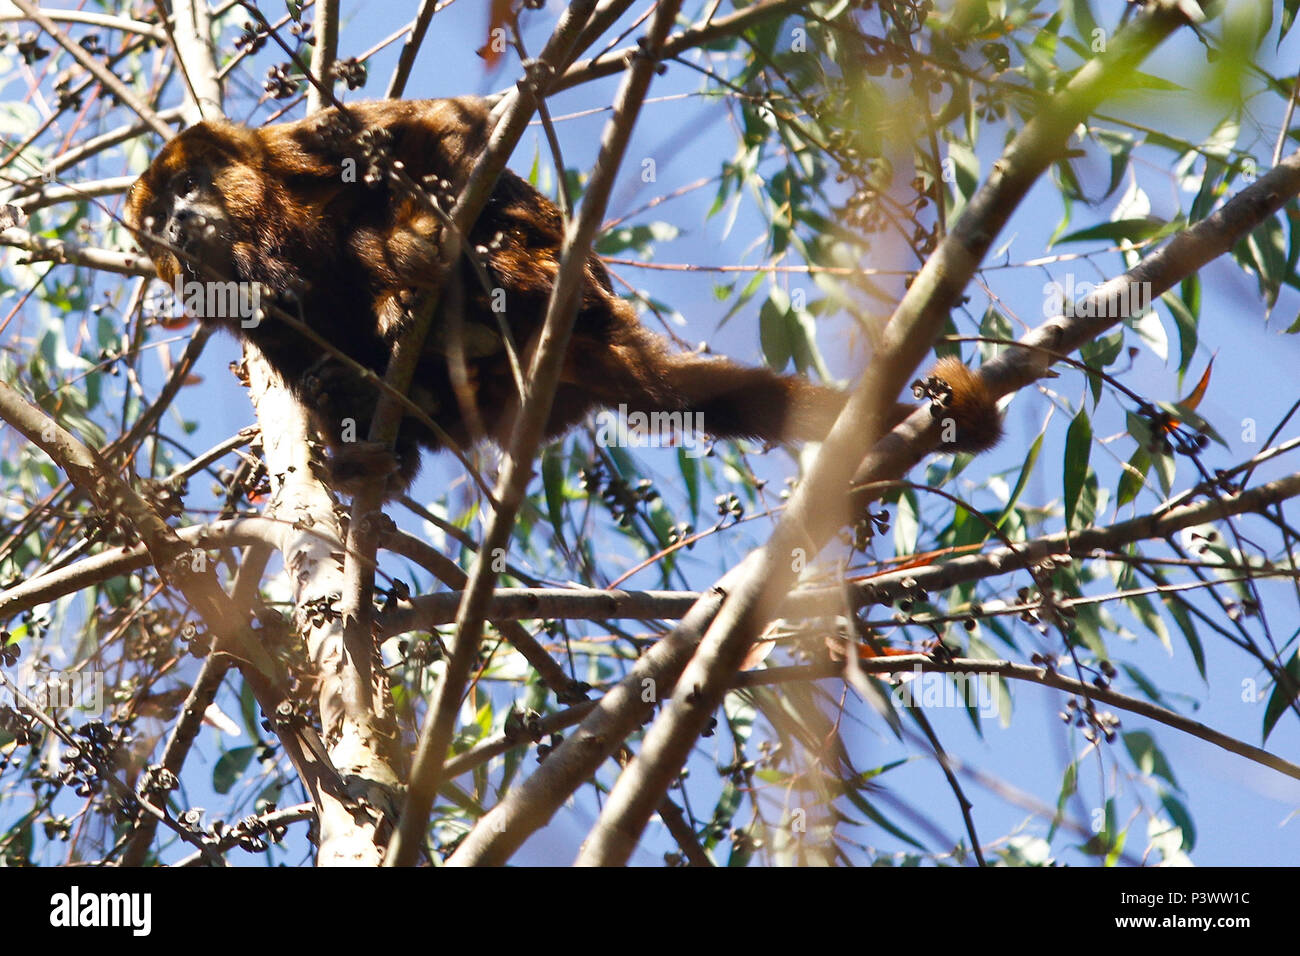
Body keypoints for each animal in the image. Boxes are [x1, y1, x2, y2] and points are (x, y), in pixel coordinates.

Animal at [123, 97, 1000, 497]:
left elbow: (446, 132)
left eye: (189, 186)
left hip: (553, 272)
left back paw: (427, 285)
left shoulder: (301, 147)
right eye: (158, 218)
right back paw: (375, 415)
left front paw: (419, 238)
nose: (180, 221)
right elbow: (283, 343)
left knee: (406, 225)